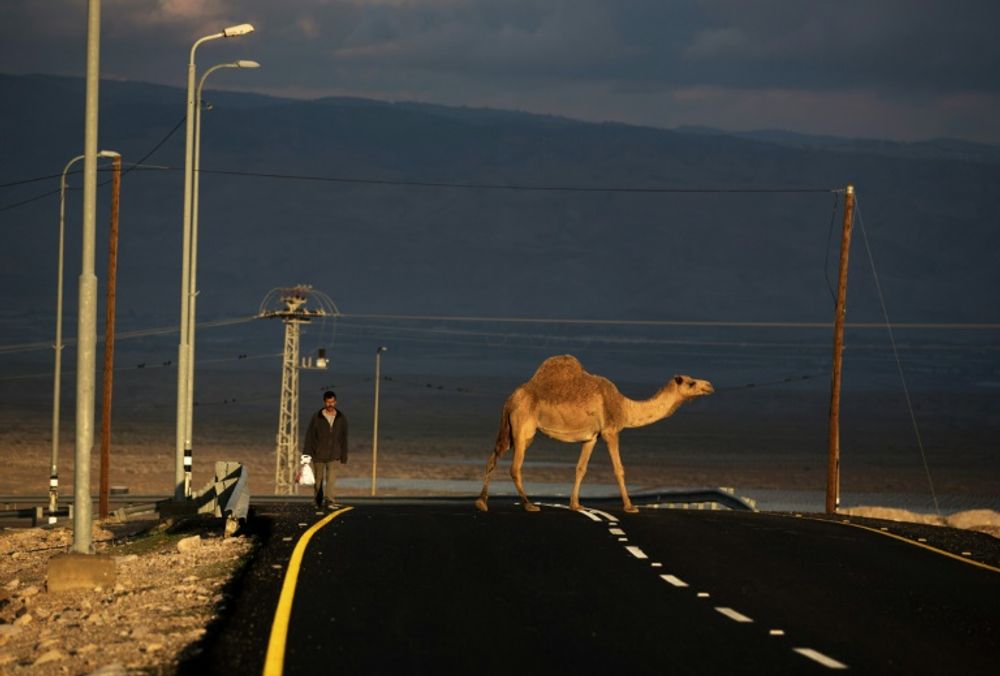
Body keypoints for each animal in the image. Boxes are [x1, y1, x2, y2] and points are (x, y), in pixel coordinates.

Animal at [474, 355, 714, 514]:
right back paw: (529, 504)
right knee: (515, 467)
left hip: (511, 429)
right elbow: (619, 469)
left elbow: (581, 469)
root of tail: (511, 398)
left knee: (494, 456)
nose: (709, 385)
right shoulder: (610, 431)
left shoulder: (590, 437)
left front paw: (575, 504)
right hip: (523, 427)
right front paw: (630, 506)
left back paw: (482, 502)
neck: (624, 407)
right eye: (691, 382)